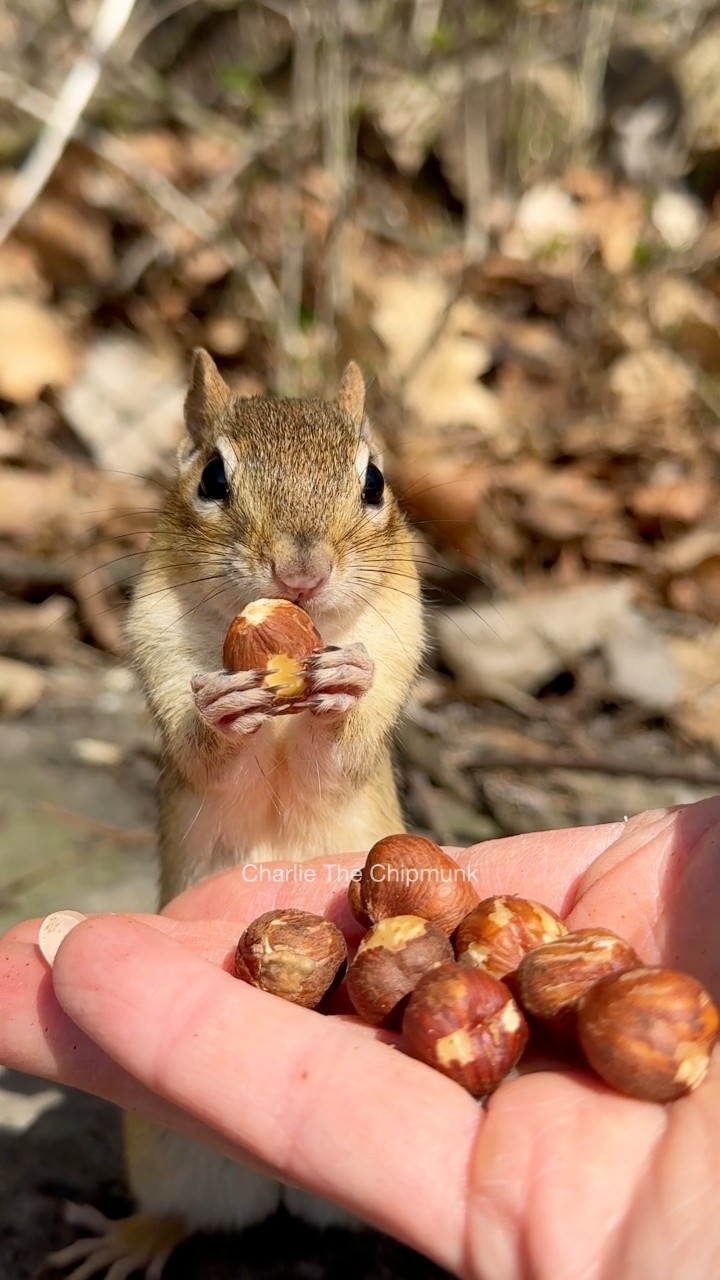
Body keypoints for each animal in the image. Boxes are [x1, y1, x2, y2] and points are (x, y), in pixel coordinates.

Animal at [49, 352, 424, 1279]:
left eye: (375, 480)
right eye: (211, 477)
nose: (301, 573)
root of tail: (286, 1188)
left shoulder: (395, 644)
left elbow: (342, 752)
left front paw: (345, 687)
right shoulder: (156, 646)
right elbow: (206, 755)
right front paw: (222, 711)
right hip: (164, 1140)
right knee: (184, 1210)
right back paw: (130, 1239)